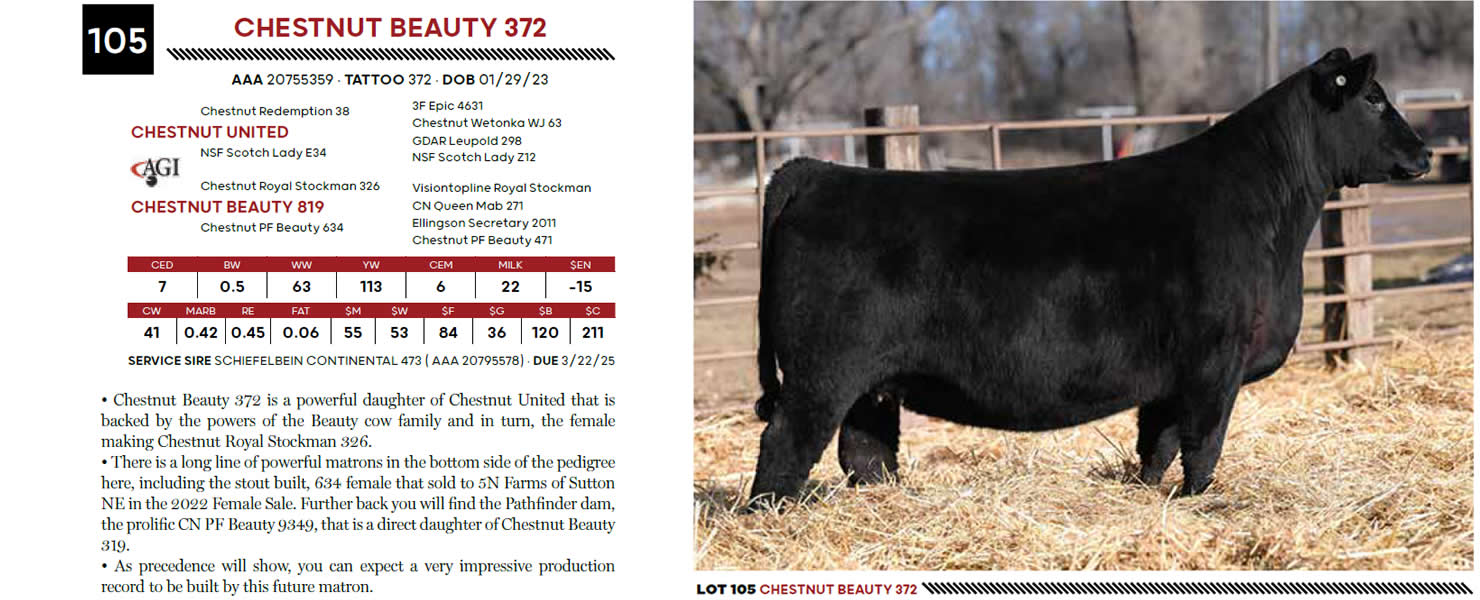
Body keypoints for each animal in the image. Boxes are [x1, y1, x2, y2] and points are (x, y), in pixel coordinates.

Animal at [748, 49, 1431, 508]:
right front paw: (1200, 502)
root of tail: (816, 171)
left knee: (864, 453)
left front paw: (1151, 494)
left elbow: (1158, 444)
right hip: (822, 373)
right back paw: (777, 516)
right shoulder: (1217, 362)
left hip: (870, 384)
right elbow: (1203, 446)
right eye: (1373, 99)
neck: (1271, 215)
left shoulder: (1171, 377)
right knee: (784, 448)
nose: (1425, 154)